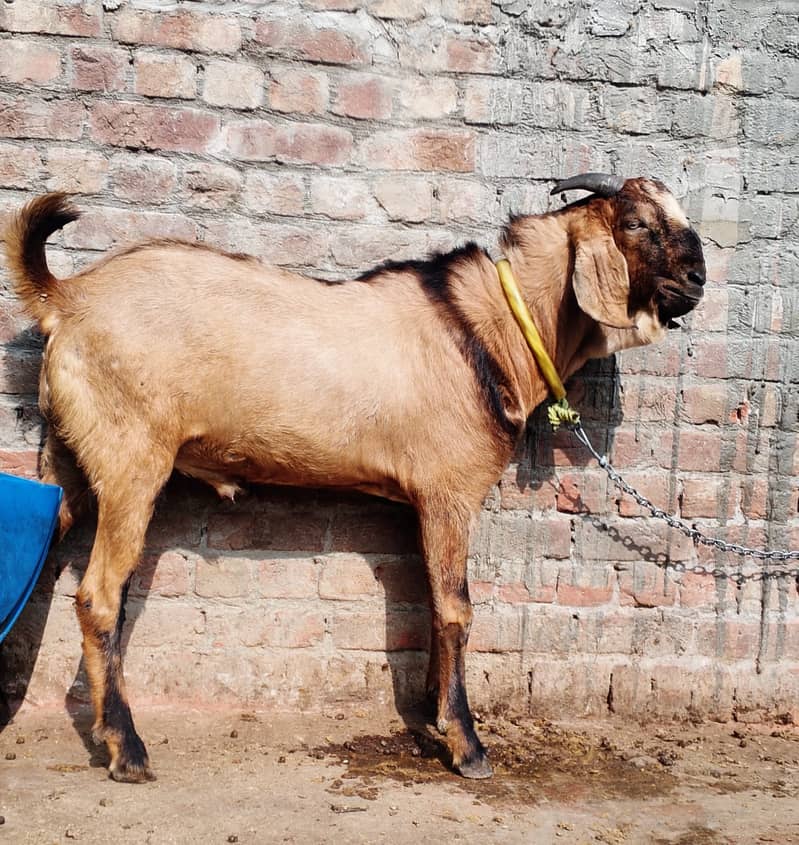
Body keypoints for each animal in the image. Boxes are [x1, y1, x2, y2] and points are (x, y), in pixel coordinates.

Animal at [5, 174, 705, 782]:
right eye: (636, 223)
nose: (698, 280)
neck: (496, 326)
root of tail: (66, 299)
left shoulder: (423, 502)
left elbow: (431, 603)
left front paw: (432, 716)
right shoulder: (451, 491)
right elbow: (457, 609)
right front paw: (467, 744)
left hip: (67, 460)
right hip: (131, 458)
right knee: (99, 596)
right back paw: (127, 749)